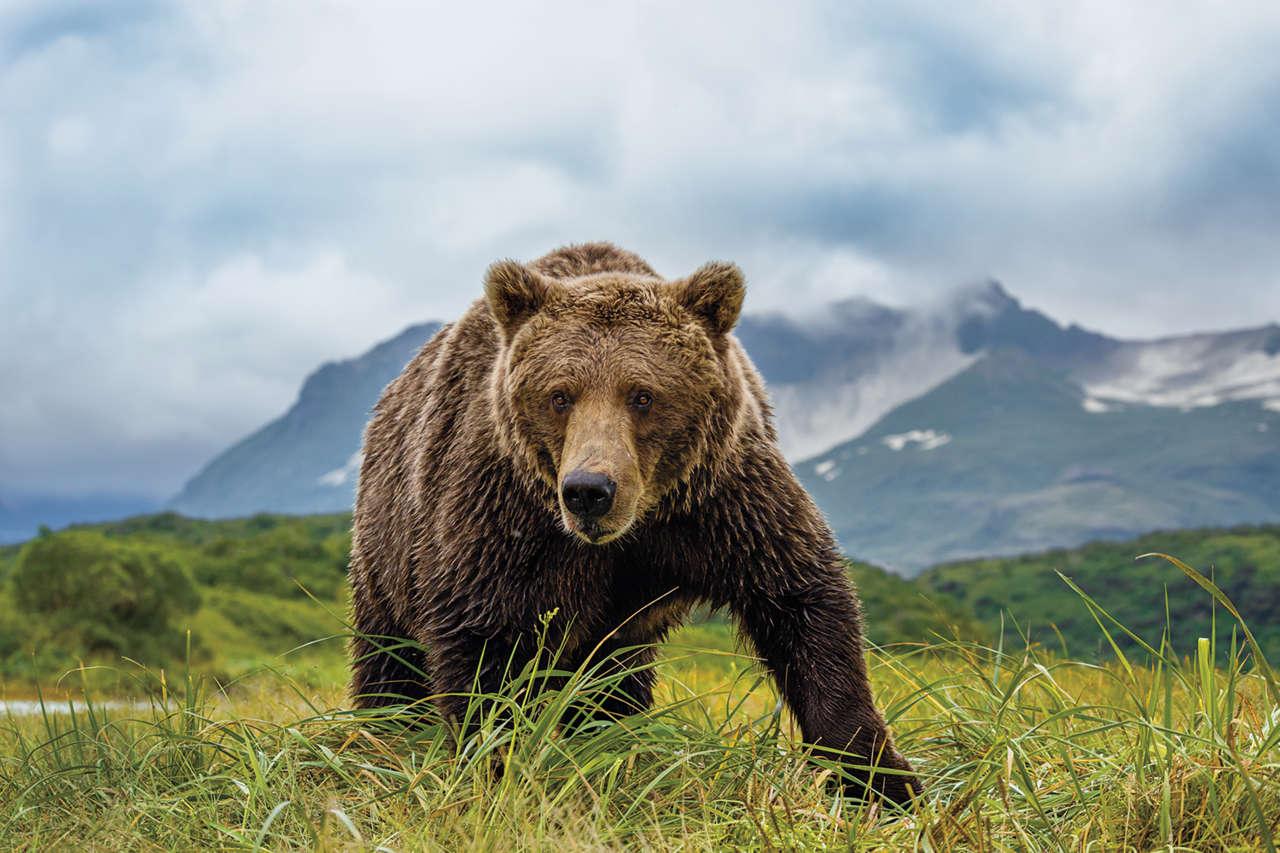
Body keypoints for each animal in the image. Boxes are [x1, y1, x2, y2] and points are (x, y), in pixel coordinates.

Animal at [348, 242, 920, 804]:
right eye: (560, 395)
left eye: (642, 394)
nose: (588, 491)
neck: (634, 526)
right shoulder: (507, 516)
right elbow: (488, 647)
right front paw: (500, 771)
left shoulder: (721, 500)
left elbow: (802, 602)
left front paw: (882, 782)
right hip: (388, 547)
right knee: (389, 662)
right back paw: (380, 740)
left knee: (612, 685)